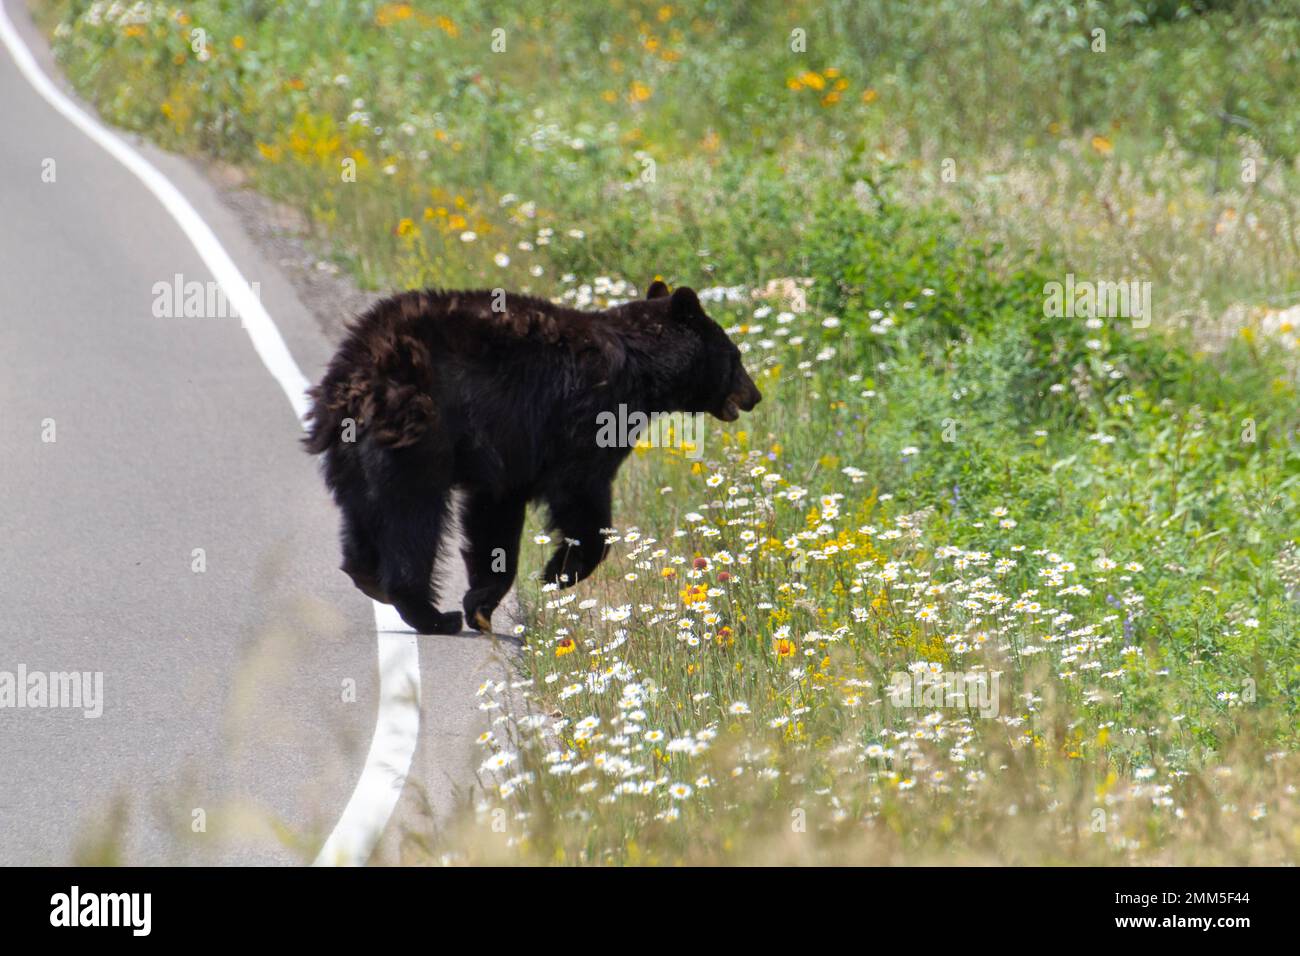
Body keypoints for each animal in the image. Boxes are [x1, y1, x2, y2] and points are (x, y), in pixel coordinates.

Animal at [303, 280, 761, 635]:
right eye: (736, 355)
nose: (754, 395)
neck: (643, 369)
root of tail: (355, 367)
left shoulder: (510, 455)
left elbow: (494, 515)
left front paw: (482, 602)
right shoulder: (580, 421)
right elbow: (581, 500)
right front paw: (556, 574)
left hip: (354, 450)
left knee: (363, 510)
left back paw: (368, 575)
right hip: (416, 433)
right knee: (412, 517)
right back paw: (431, 613)